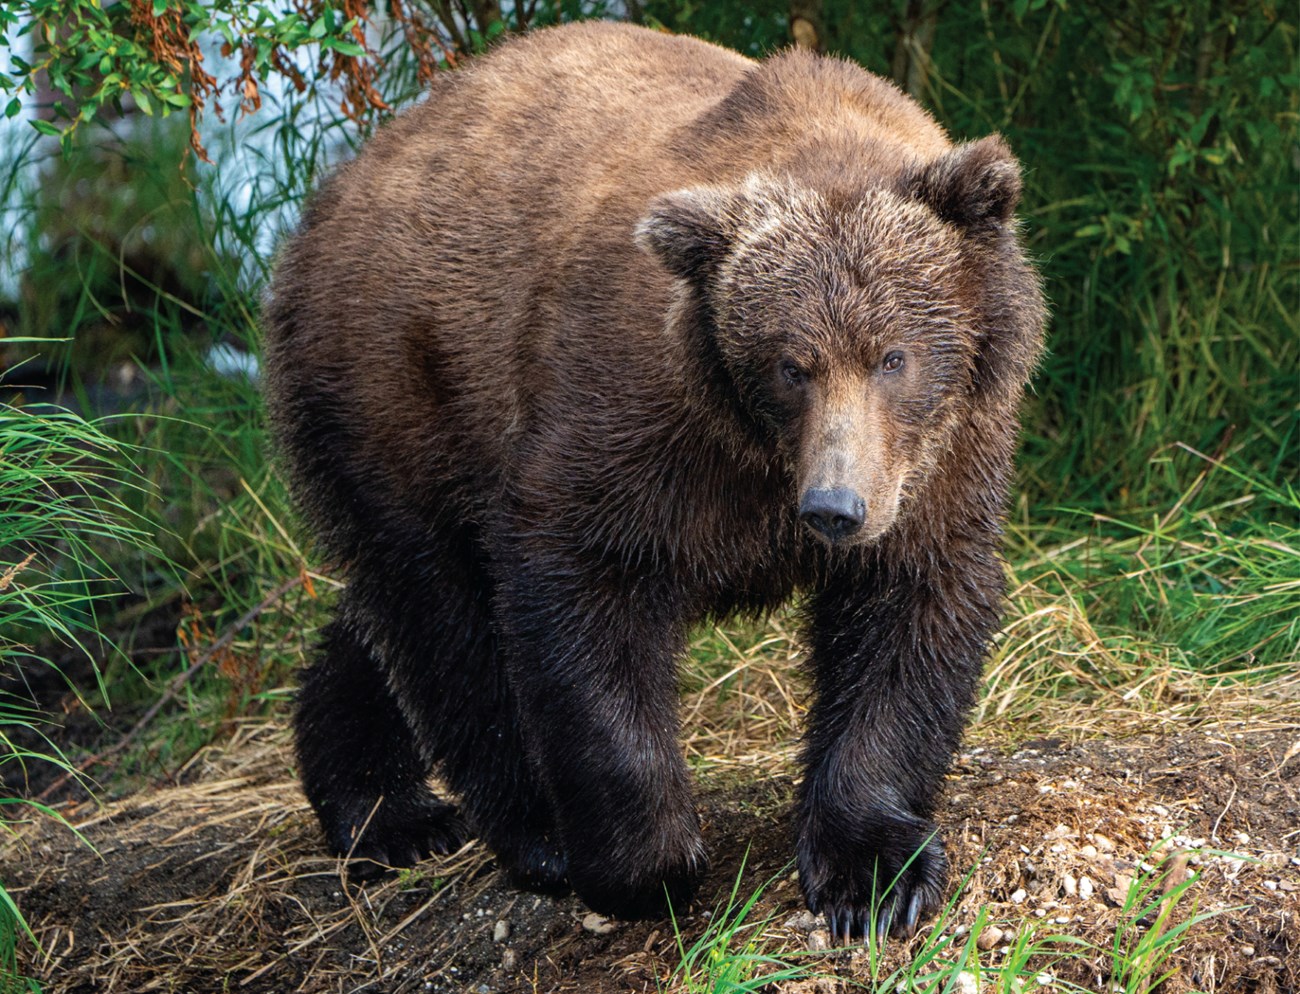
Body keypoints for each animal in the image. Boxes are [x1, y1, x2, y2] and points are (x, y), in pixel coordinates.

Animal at [263, 20, 1045, 942]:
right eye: (790, 365)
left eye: (894, 357)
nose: (834, 509)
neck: (759, 457)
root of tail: (338, 189)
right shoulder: (631, 417)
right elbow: (581, 589)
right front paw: (648, 864)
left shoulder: (940, 458)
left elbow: (909, 614)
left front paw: (873, 874)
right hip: (399, 385)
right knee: (439, 608)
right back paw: (517, 831)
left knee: (385, 615)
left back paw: (377, 803)